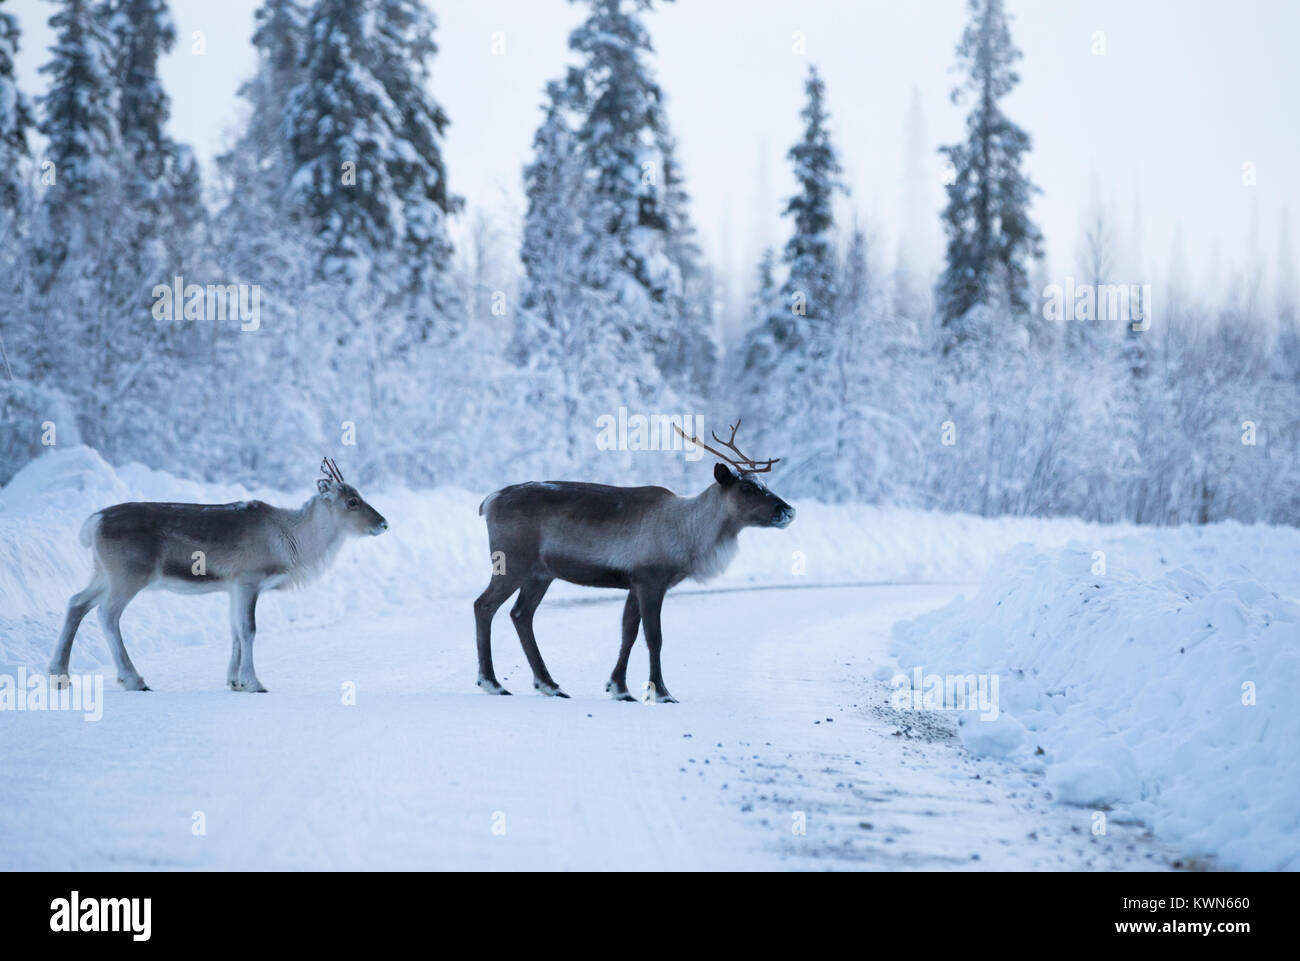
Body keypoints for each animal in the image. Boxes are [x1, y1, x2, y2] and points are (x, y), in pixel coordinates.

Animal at [47, 458, 387, 693]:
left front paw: (234, 681)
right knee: (106, 614)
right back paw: (134, 679)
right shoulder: (249, 579)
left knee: (76, 603)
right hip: (127, 575)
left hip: (101, 574)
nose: (383, 523)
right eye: (352, 501)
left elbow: (235, 631)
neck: (293, 541)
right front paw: (254, 682)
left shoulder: (232, 586)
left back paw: (59, 675)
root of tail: (92, 523)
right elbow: (249, 629)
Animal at [474, 419, 793, 702]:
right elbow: (654, 636)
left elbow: (628, 632)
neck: (691, 534)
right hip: (512, 563)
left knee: (521, 614)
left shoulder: (633, 583)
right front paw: (662, 692)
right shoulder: (651, 580)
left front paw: (619, 687)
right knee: (484, 605)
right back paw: (492, 683)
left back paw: (550, 685)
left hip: (541, 573)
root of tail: (488, 501)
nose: (788, 510)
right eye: (747, 488)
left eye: (765, 483)